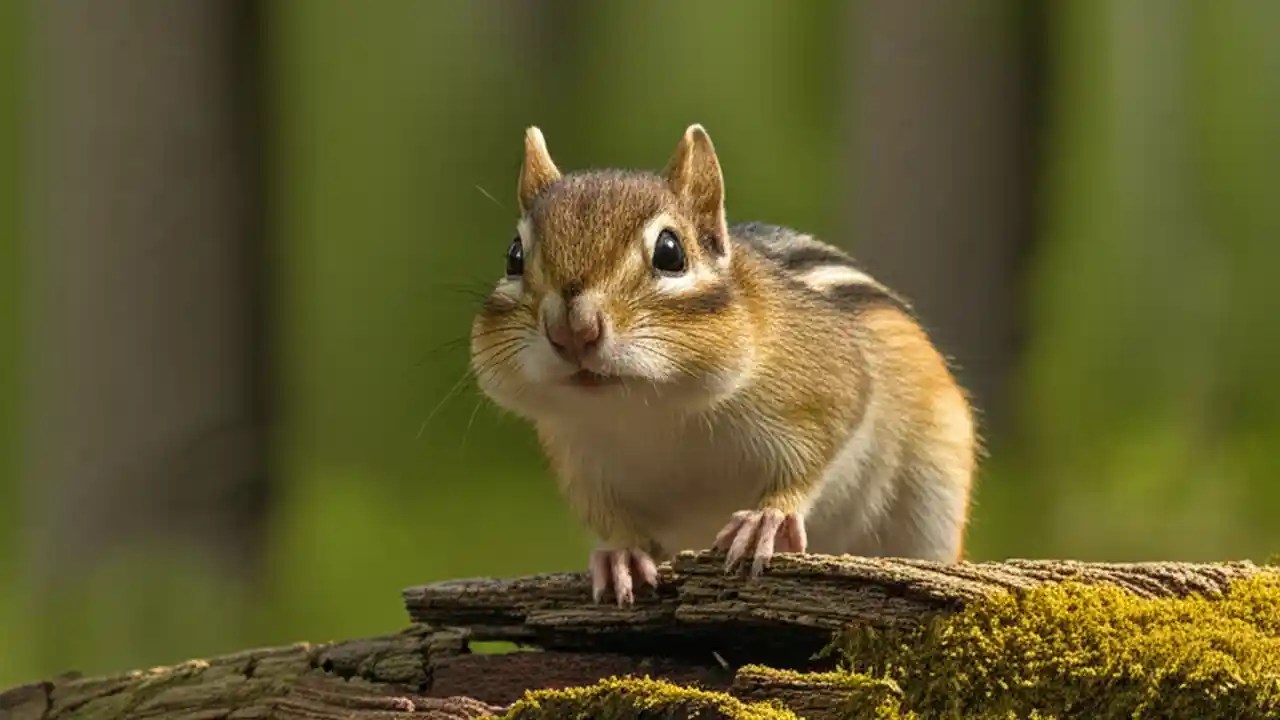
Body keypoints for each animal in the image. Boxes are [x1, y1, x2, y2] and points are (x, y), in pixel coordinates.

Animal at [470, 124, 978, 606]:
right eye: (514, 256)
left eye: (670, 252)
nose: (573, 331)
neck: (652, 412)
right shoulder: (581, 464)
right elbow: (613, 522)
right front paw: (620, 555)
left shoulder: (831, 386)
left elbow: (815, 454)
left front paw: (767, 518)